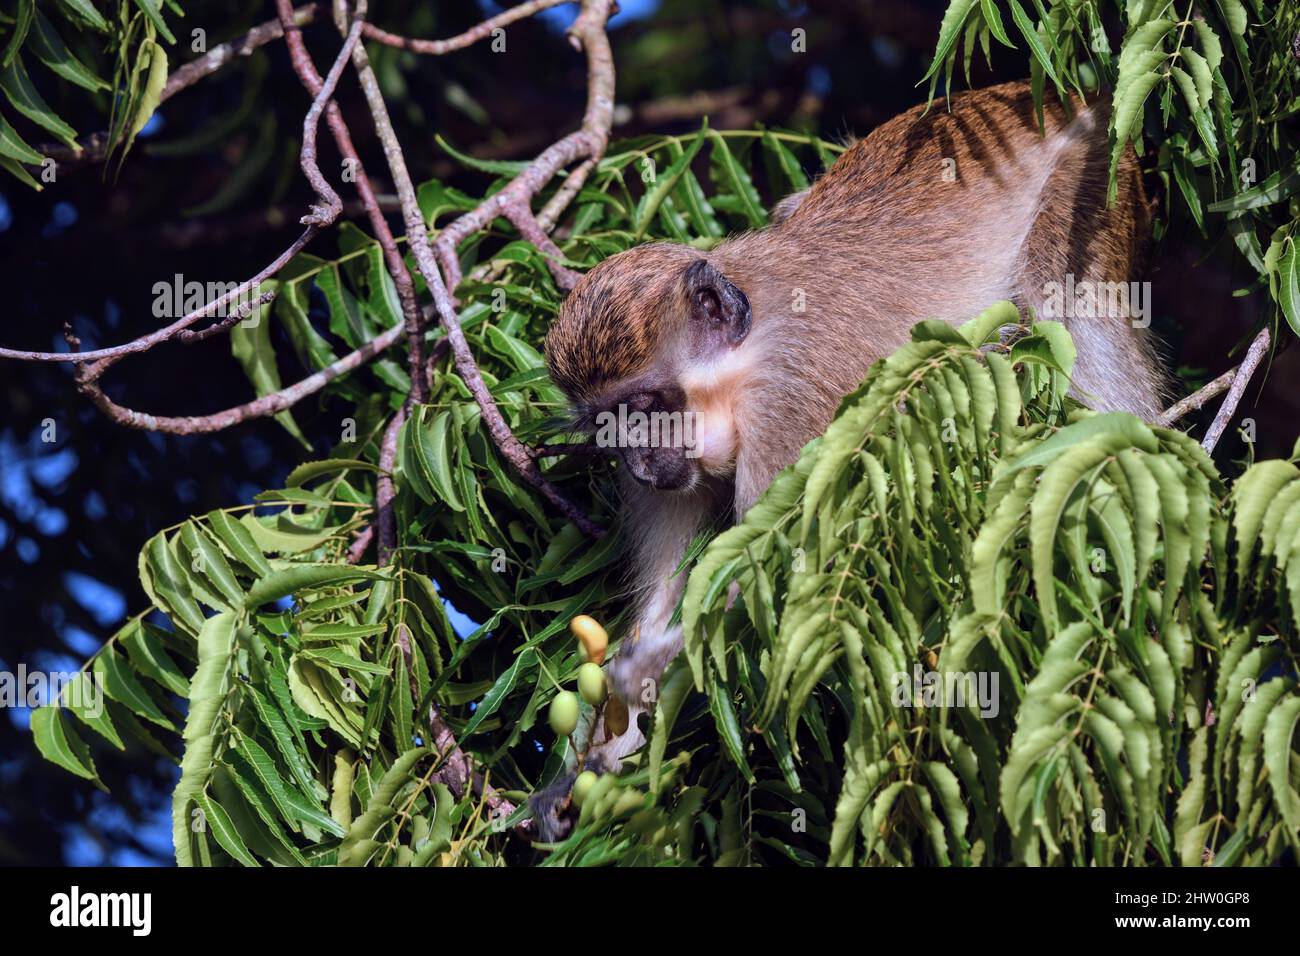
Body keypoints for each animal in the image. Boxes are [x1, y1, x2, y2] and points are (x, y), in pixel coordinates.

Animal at [531, 80, 1167, 837]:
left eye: (650, 405)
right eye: (611, 424)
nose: (637, 467)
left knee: (1062, 305)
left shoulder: (790, 403)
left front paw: (641, 669)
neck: (750, 353)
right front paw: (585, 765)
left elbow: (790, 577)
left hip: (1096, 181)